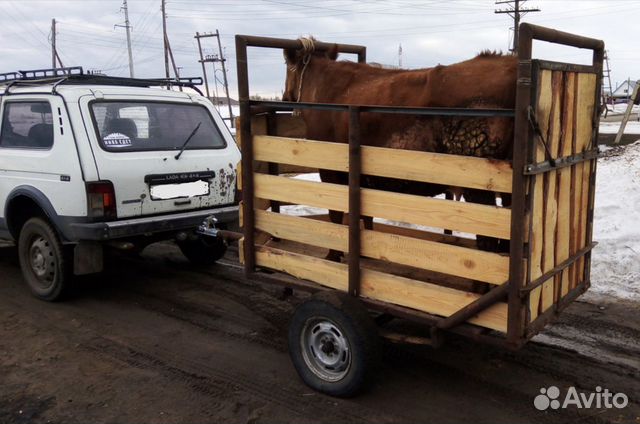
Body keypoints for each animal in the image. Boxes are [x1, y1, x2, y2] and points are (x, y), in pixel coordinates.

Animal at [282, 39, 516, 255]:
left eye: (286, 67)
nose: (284, 97)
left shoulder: (330, 170)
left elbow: (336, 214)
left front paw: (333, 255)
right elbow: (365, 214)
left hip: (480, 181)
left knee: (488, 241)